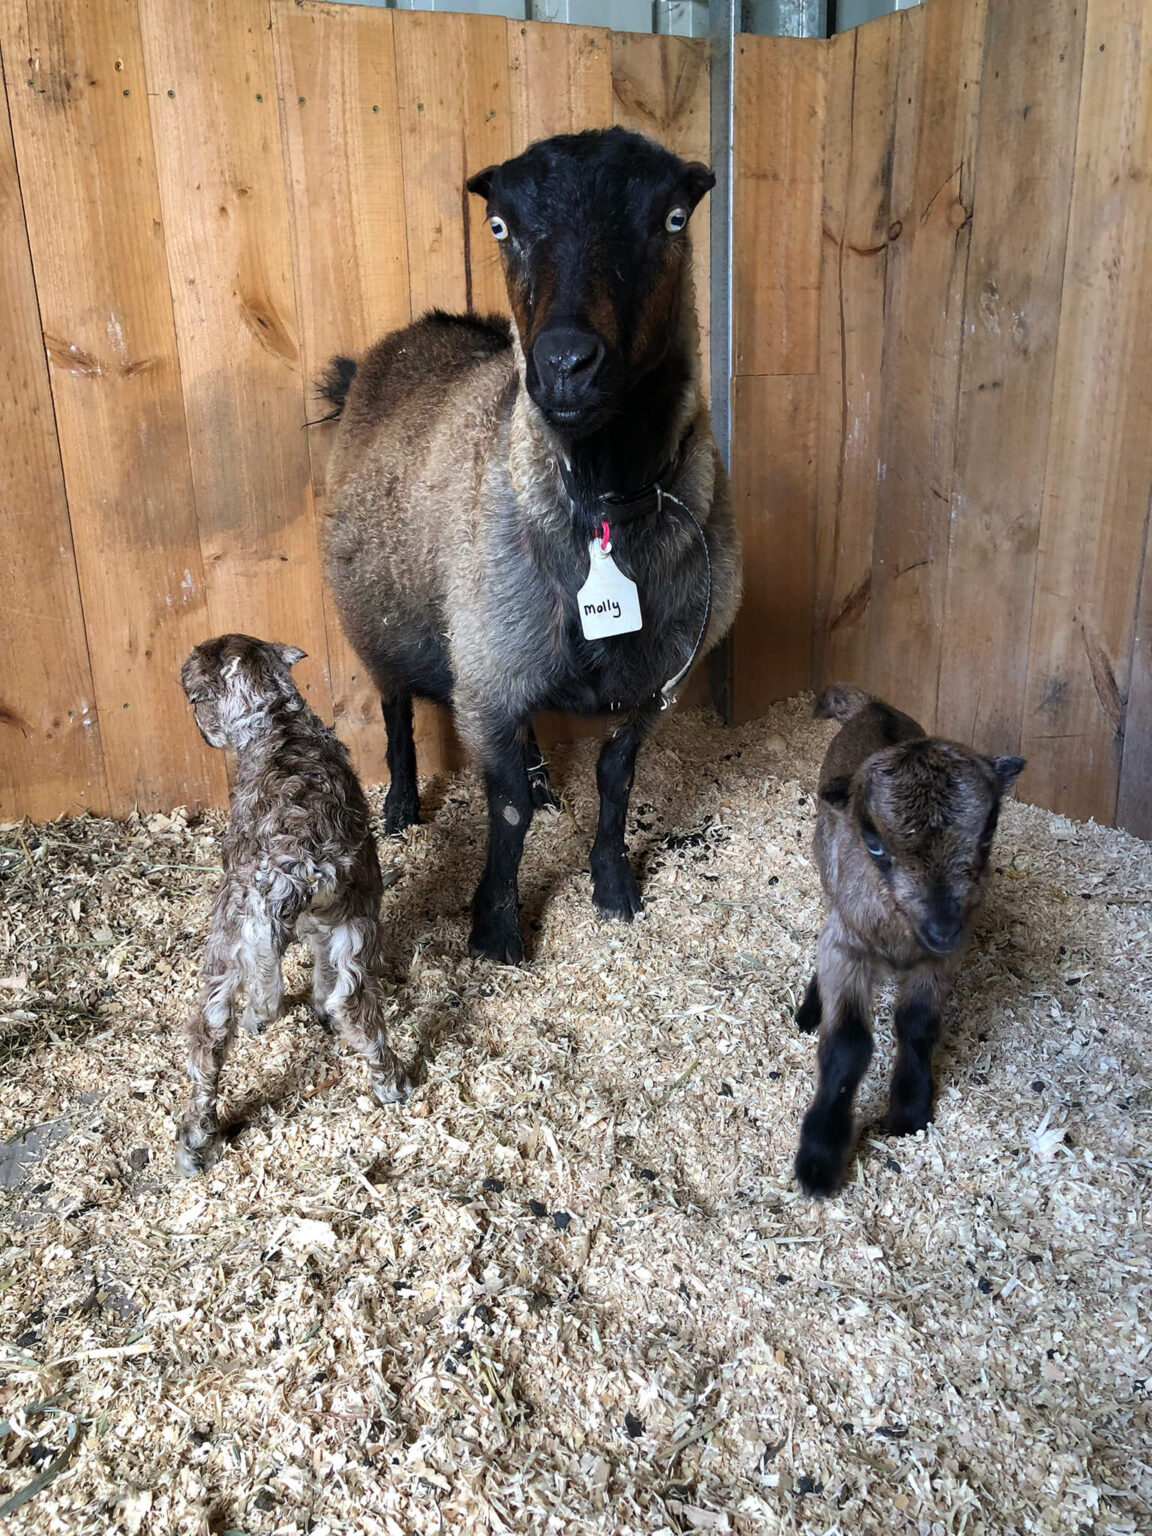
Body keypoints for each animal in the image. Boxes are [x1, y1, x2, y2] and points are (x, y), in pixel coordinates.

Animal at [176, 635, 409, 1176]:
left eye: (196, 695)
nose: (198, 729)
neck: (278, 720)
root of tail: (298, 859)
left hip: (229, 936)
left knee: (210, 1038)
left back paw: (195, 1142)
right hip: (356, 920)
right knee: (350, 1003)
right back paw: (391, 1084)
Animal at [321, 127, 741, 965]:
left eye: (675, 218)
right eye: (499, 226)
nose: (566, 363)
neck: (601, 502)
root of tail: (425, 327)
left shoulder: (650, 686)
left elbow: (615, 785)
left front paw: (612, 888)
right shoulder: (485, 679)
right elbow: (505, 811)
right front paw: (496, 929)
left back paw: (547, 785)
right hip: (386, 623)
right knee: (395, 712)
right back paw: (401, 806)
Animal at [793, 683, 1024, 1198]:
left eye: (988, 833)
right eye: (873, 842)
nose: (942, 928)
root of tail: (872, 705)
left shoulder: (939, 962)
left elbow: (917, 1026)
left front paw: (909, 1111)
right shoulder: (848, 946)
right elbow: (848, 1045)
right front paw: (819, 1158)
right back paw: (811, 1008)